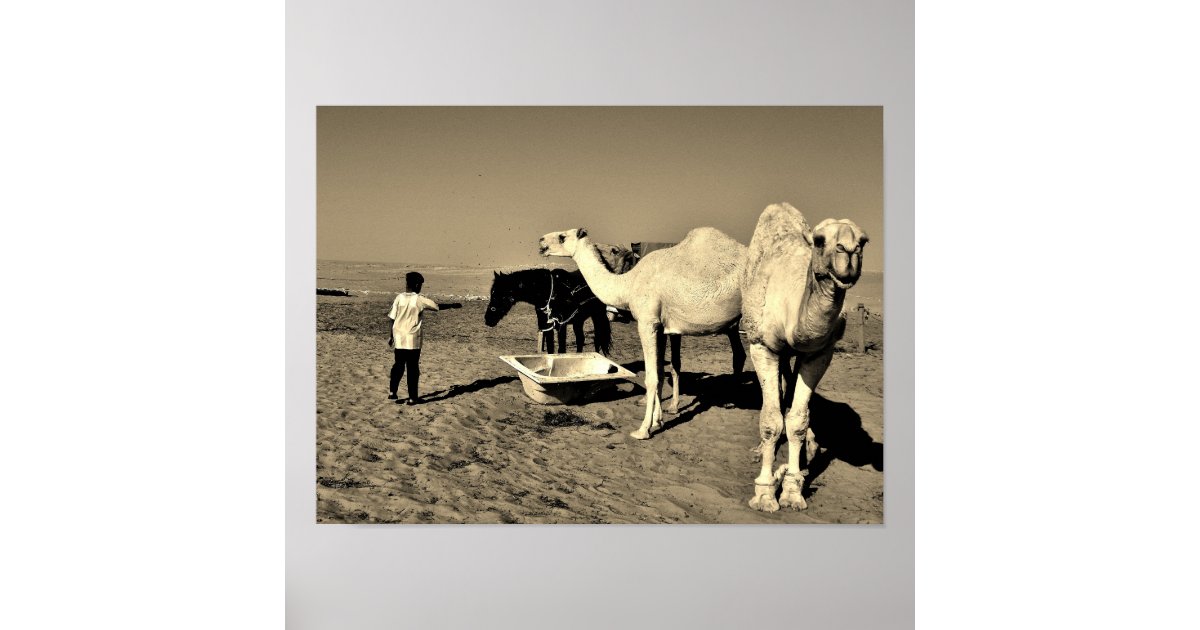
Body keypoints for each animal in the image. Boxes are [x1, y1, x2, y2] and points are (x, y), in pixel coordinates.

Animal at [539, 227, 746, 439]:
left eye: (562, 237)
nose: (541, 241)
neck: (629, 283)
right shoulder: (660, 327)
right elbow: (661, 373)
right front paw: (658, 421)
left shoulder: (647, 323)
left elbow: (651, 377)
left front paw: (643, 430)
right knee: (740, 355)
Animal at [740, 203, 868, 511]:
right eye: (820, 240)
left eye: (864, 241)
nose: (849, 252)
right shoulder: (761, 346)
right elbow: (770, 419)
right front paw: (764, 493)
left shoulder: (819, 352)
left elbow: (797, 421)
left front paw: (792, 490)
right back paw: (762, 449)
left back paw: (810, 447)